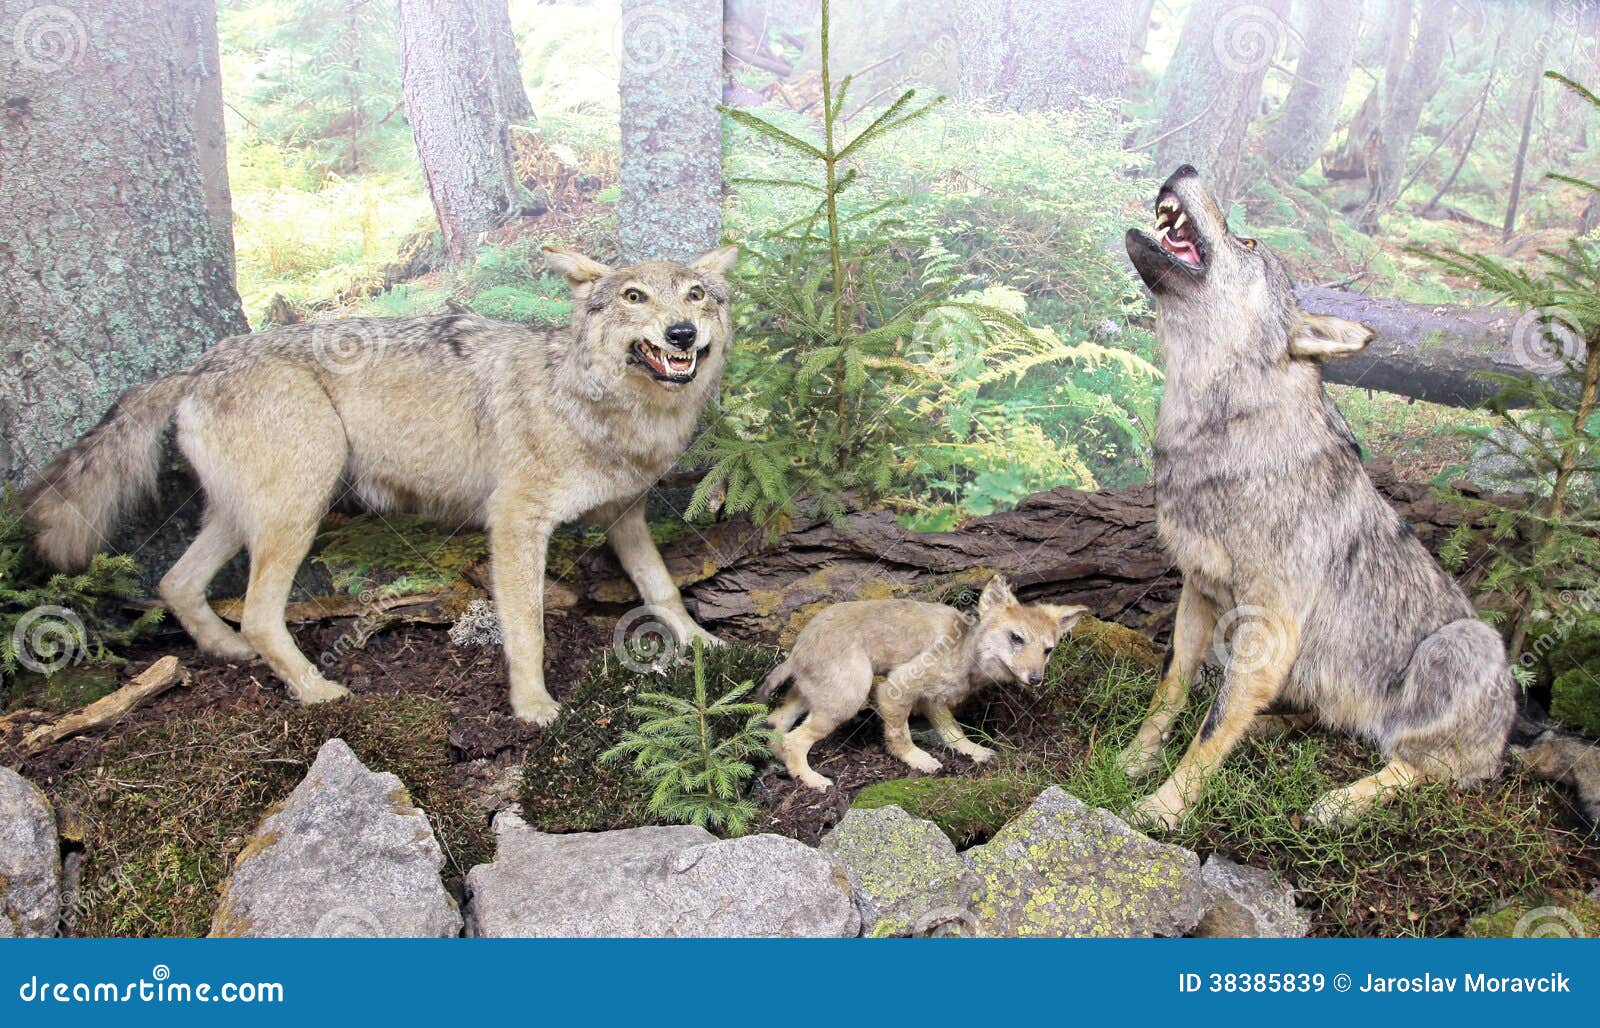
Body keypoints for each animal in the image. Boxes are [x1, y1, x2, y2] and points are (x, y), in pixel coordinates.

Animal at [22, 244, 739, 724]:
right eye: (634, 297)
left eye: (696, 295)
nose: (681, 333)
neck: (606, 409)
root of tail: (200, 363)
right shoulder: (515, 524)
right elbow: (527, 627)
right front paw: (533, 706)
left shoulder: (627, 517)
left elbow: (663, 590)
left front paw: (703, 645)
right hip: (299, 509)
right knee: (257, 614)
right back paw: (316, 693)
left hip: (243, 518)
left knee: (177, 584)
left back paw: (228, 653)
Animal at [758, 576, 1086, 790]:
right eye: (1016, 638)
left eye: (1048, 650)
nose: (1036, 680)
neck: (965, 649)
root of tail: (797, 649)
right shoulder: (894, 688)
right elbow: (900, 736)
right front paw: (919, 761)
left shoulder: (932, 699)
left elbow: (954, 733)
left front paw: (975, 752)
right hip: (847, 700)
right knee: (794, 741)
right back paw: (813, 780)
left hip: (811, 697)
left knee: (776, 725)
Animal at [1120, 165, 1515, 827]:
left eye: (1250, 242)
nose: (1185, 168)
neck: (1215, 434)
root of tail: (1510, 734)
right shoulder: (1198, 594)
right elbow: (1170, 691)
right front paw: (1131, 760)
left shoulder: (1268, 625)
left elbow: (1210, 729)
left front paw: (1164, 810)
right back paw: (1272, 729)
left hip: (1464, 644)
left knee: (1425, 766)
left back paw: (1341, 803)